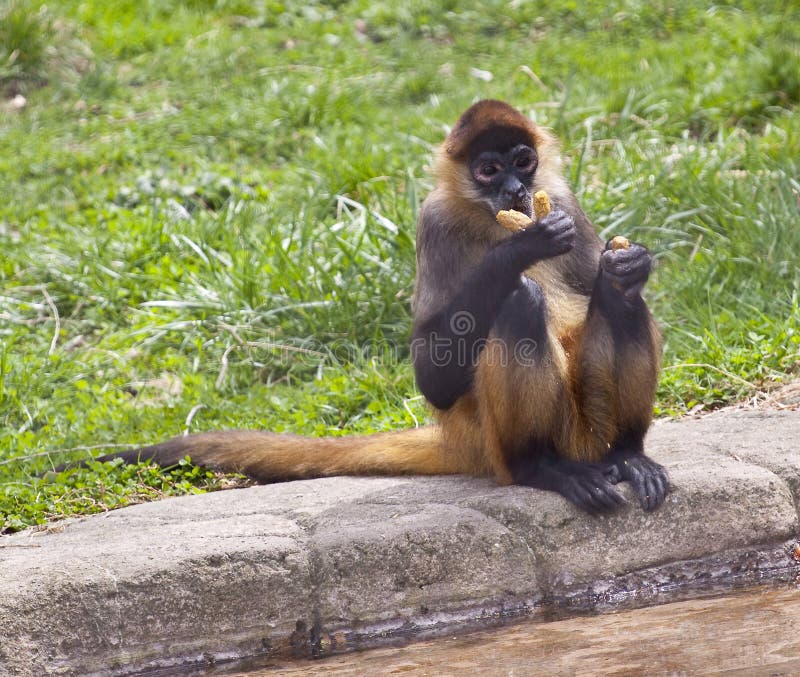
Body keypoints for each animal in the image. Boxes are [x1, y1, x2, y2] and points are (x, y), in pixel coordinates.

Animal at [84, 100, 668, 515]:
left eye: (524, 161)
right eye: (488, 169)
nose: (514, 188)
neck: (489, 219)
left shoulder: (562, 196)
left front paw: (628, 261)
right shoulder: (434, 219)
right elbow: (434, 374)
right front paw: (523, 249)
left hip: (585, 422)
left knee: (622, 302)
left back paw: (626, 454)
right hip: (495, 435)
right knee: (521, 302)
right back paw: (542, 468)